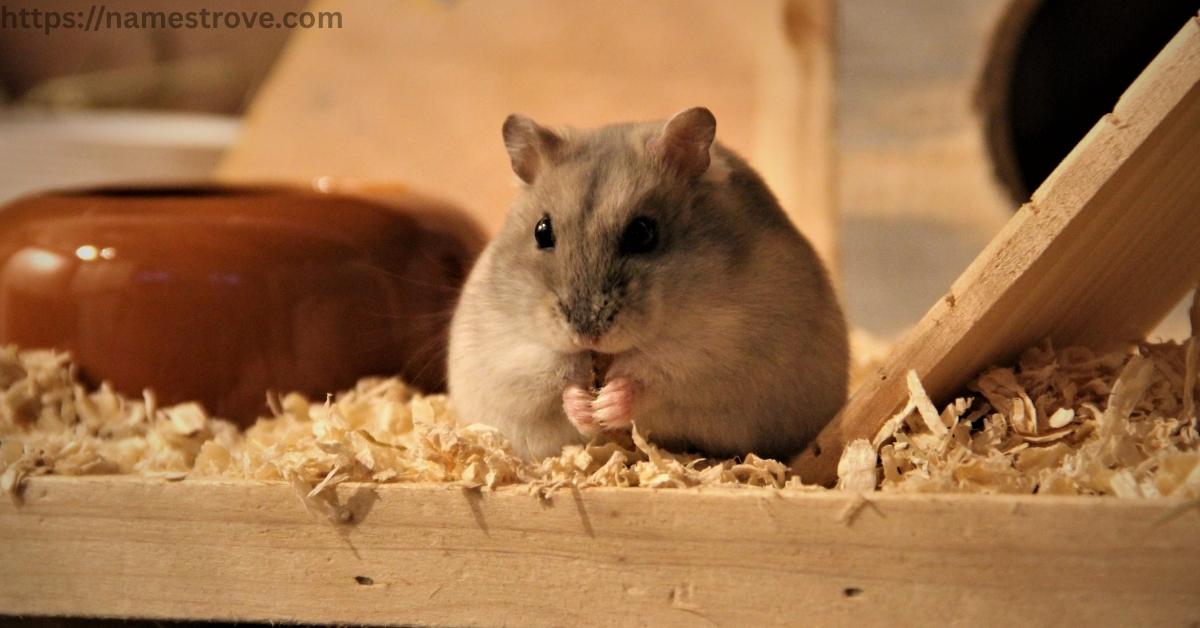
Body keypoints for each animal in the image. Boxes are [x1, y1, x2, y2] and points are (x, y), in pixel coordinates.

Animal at [447, 107, 848, 461]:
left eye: (643, 233)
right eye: (541, 231)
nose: (586, 333)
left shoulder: (718, 356)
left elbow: (652, 377)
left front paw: (606, 406)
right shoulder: (505, 356)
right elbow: (552, 381)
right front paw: (586, 408)